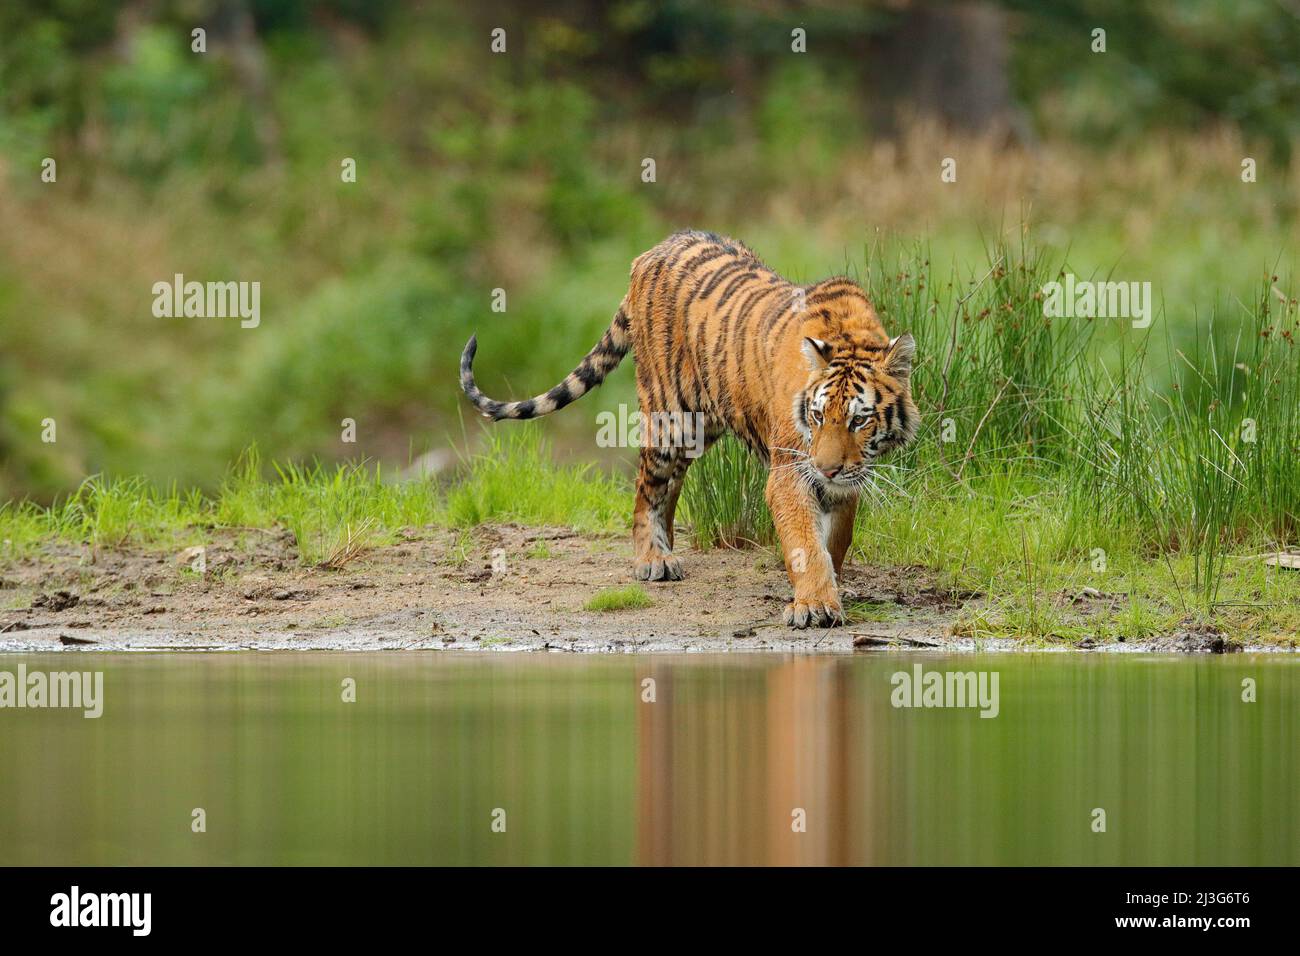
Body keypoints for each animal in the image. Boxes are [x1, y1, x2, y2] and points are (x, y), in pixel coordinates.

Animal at [460, 230, 918, 628]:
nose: (827, 469)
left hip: (699, 426)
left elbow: (835, 540)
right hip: (669, 417)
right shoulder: (790, 470)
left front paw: (830, 590)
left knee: (671, 484)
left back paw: (667, 546)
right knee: (646, 487)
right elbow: (806, 542)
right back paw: (653, 560)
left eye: (859, 420)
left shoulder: (847, 481)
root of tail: (649, 253)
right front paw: (814, 605)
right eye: (819, 416)